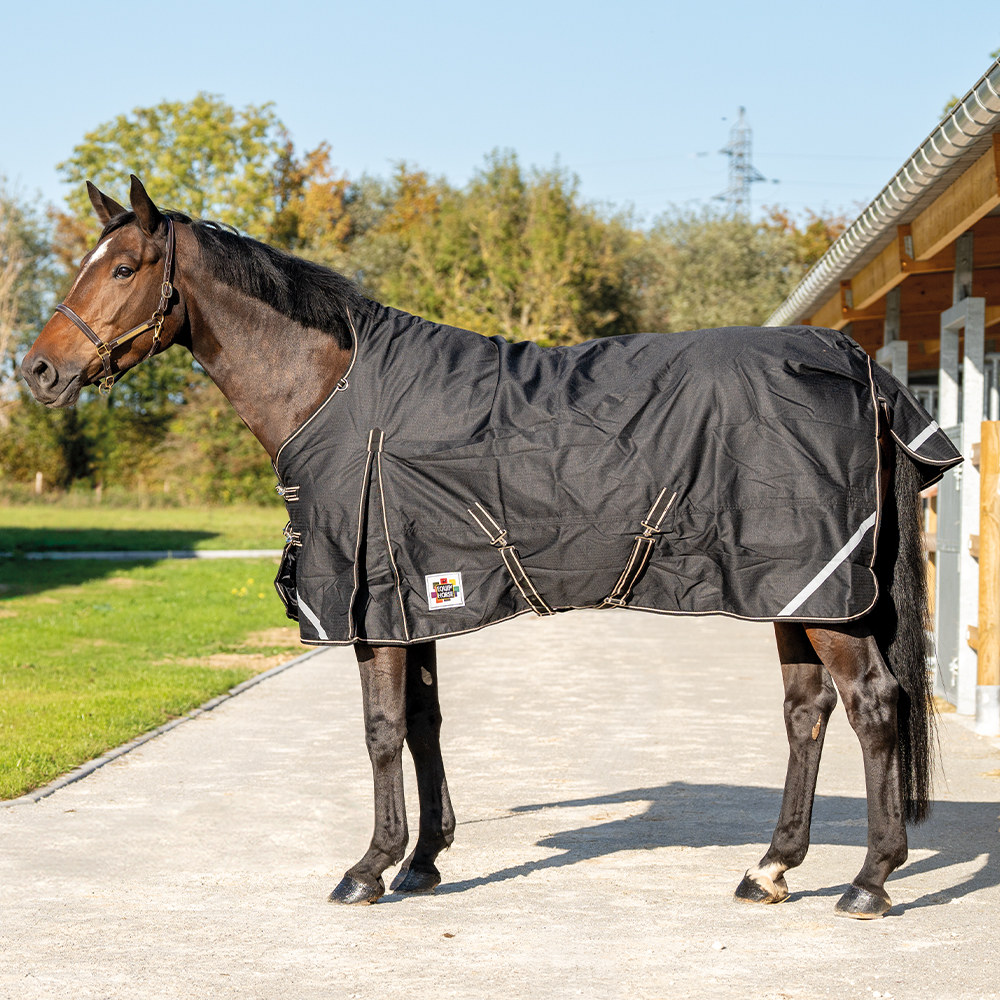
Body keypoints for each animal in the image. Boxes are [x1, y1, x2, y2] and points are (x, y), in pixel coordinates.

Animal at [22, 176, 957, 920]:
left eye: (124, 269)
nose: (36, 371)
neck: (334, 391)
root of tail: (854, 363)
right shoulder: (415, 599)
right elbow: (424, 724)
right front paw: (424, 862)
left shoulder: (372, 607)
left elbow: (380, 731)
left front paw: (368, 868)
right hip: (791, 591)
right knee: (808, 712)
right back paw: (770, 869)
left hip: (825, 597)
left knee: (874, 706)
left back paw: (869, 882)